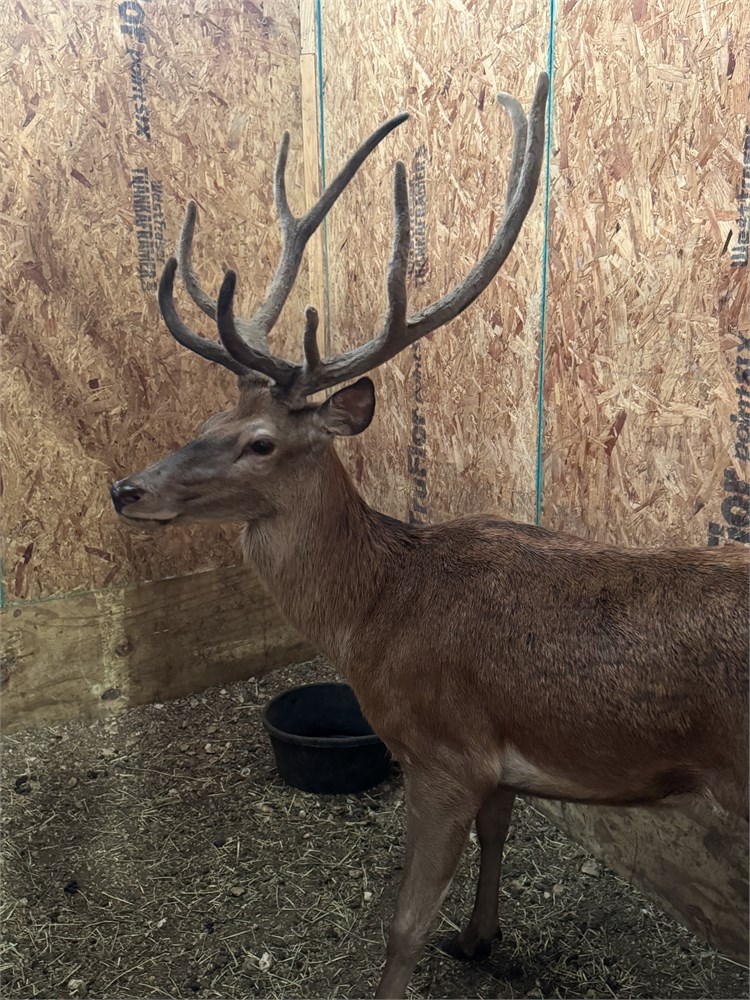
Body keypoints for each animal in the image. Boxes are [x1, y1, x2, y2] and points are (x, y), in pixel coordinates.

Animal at [111, 71, 749, 999]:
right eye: (206, 422)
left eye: (260, 443)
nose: (126, 488)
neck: (377, 611)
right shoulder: (499, 758)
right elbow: (498, 839)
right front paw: (480, 939)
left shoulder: (443, 751)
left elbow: (404, 924)